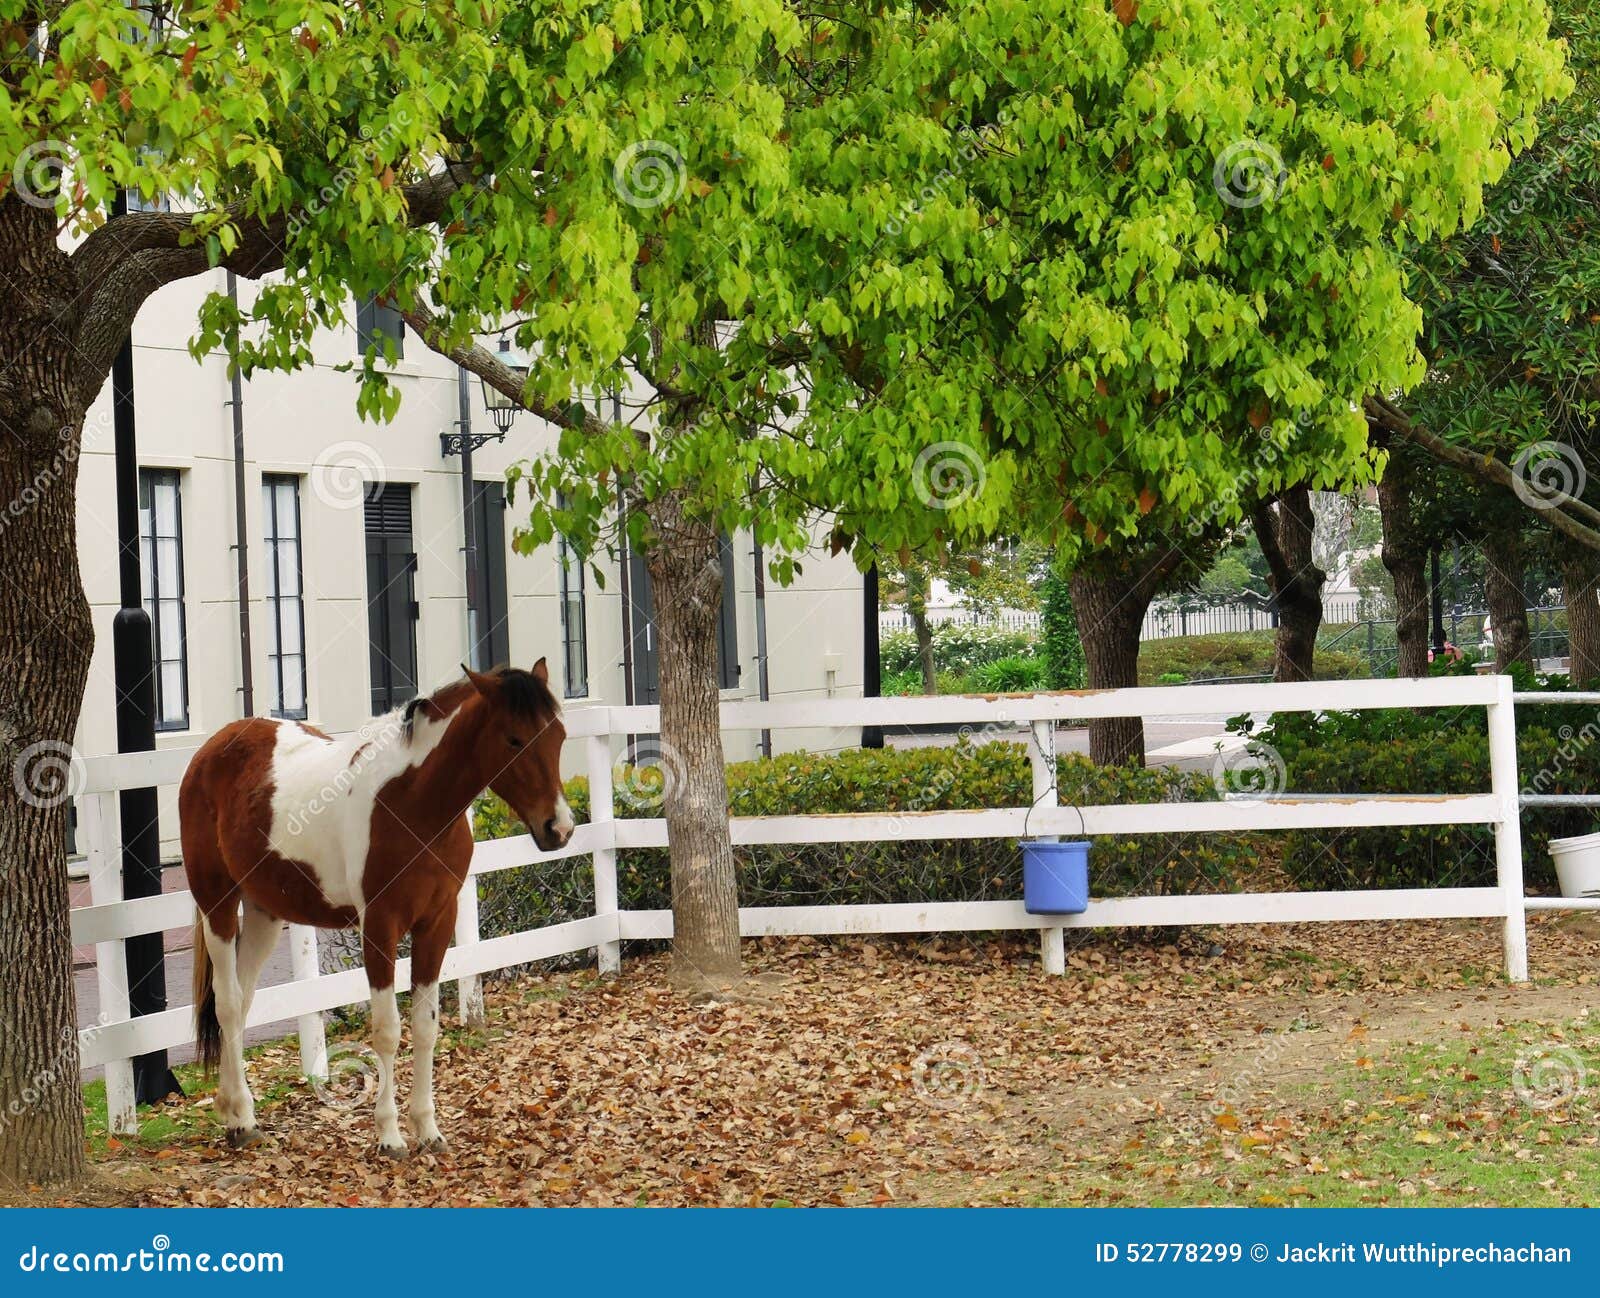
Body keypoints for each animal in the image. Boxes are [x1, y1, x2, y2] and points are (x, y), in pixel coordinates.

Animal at [179, 660, 573, 1156]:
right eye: (514, 739)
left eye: (558, 735)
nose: (558, 828)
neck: (412, 802)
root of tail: (211, 750)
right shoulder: (380, 927)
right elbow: (388, 1029)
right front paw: (389, 1135)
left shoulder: (436, 924)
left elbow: (425, 1027)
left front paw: (428, 1129)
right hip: (218, 903)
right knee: (228, 1003)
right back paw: (243, 1118)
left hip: (265, 913)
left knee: (244, 999)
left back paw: (233, 1112)